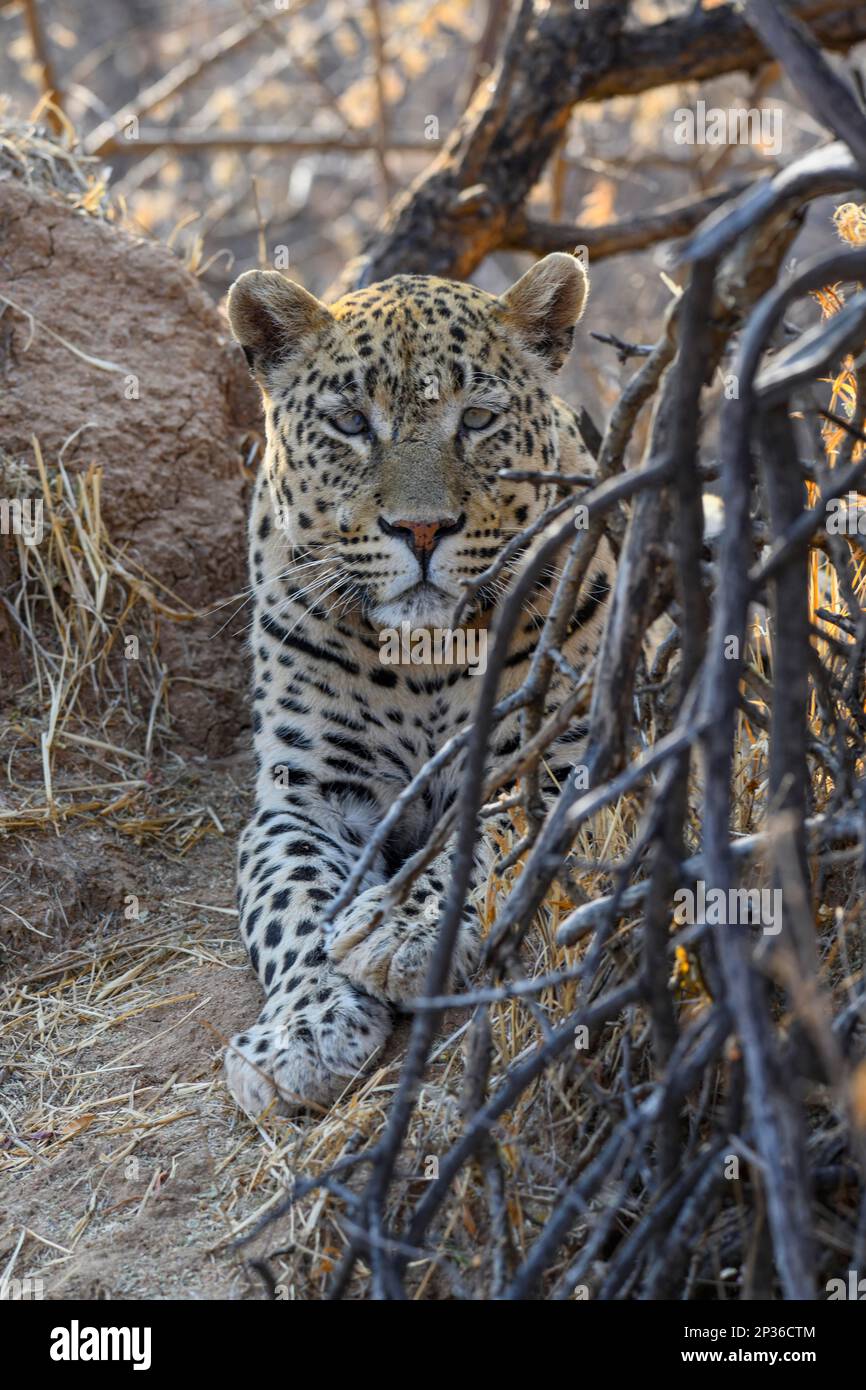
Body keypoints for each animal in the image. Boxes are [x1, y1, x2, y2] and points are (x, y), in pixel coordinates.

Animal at [223, 251, 614, 1114]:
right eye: (350, 423)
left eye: (476, 419)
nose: (423, 529)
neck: (424, 657)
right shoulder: (305, 795)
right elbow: (290, 897)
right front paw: (302, 1030)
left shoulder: (557, 755)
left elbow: (485, 835)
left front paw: (400, 931)